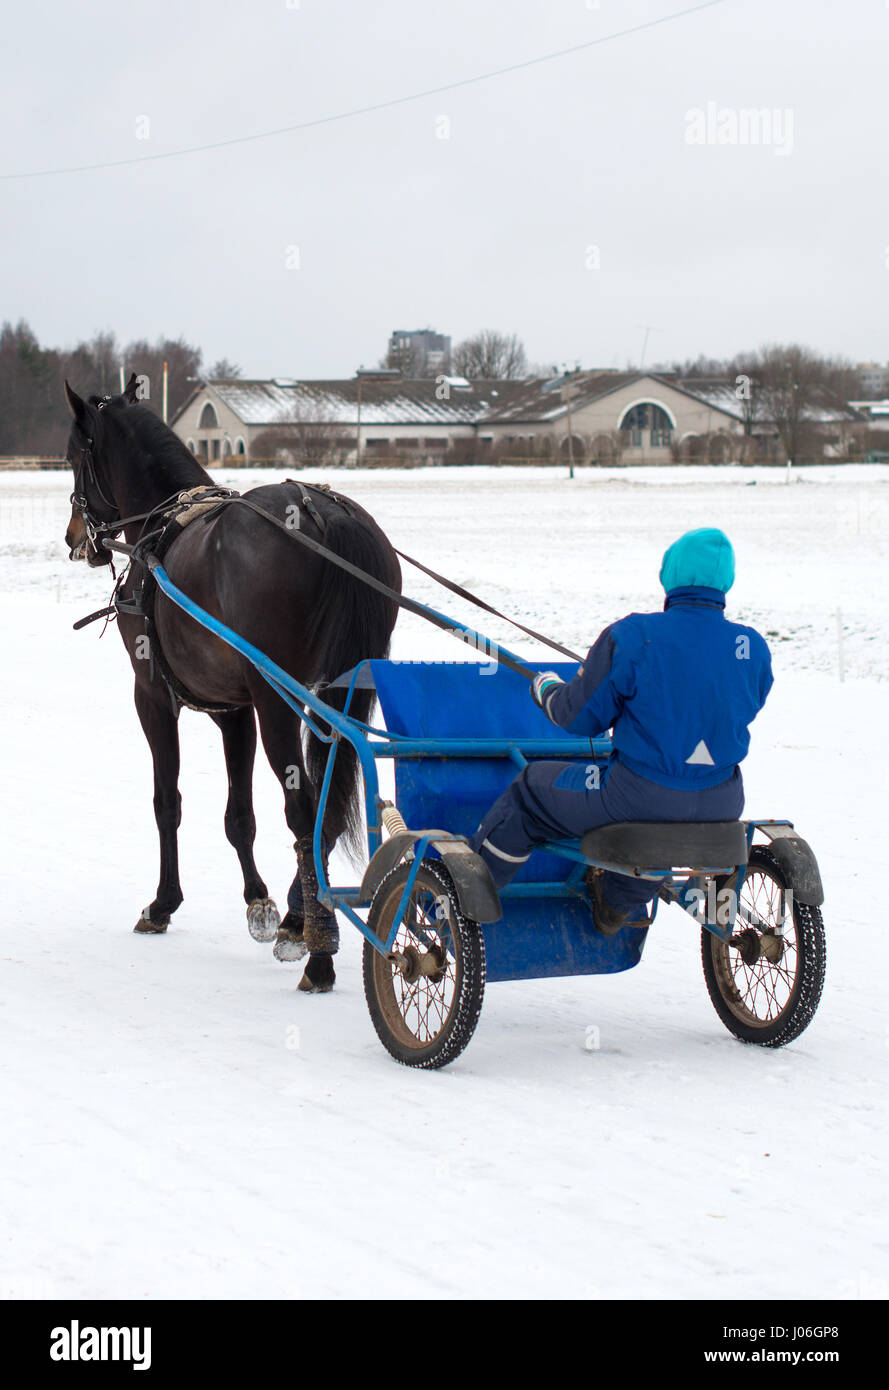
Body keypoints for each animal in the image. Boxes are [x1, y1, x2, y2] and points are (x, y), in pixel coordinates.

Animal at [63, 374, 401, 993]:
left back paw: (319, 953)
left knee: (303, 806)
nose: (76, 538)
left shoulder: (153, 696)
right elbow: (239, 817)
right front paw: (262, 904)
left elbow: (166, 801)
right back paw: (299, 917)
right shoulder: (233, 708)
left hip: (278, 700)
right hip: (333, 694)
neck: (163, 530)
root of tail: (323, 514)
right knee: (322, 800)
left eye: (75, 456)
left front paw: (163, 903)